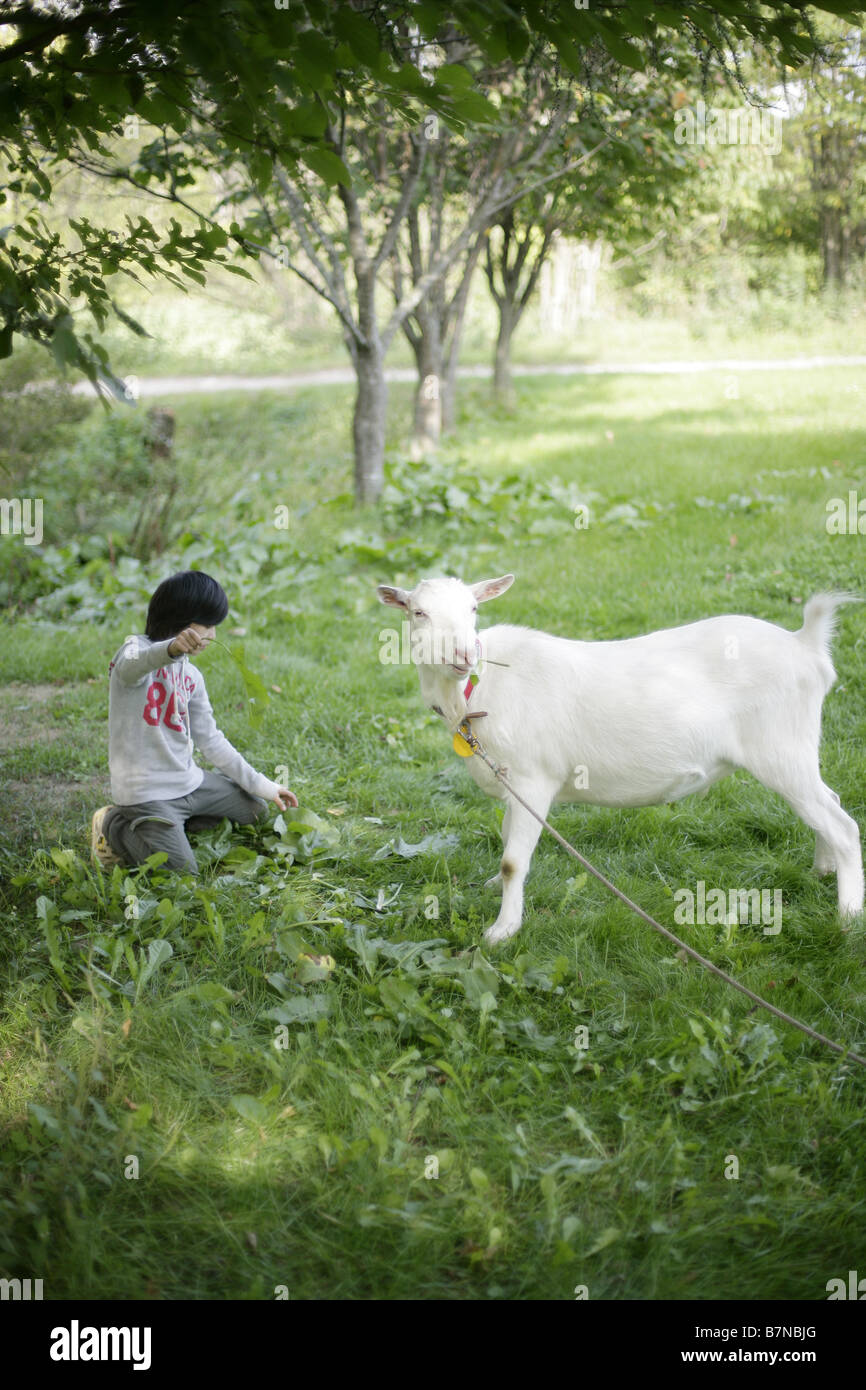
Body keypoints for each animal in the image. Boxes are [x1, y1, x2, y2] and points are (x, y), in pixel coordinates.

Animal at [377, 575, 863, 945]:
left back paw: (847, 916)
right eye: (418, 613)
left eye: (474, 609)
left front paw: (502, 931)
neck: (476, 691)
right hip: (796, 751)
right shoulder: (513, 781)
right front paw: (496, 891)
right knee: (831, 803)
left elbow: (514, 859)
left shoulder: (534, 778)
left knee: (842, 825)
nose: (463, 655)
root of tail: (806, 645)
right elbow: (506, 837)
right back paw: (823, 869)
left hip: (781, 748)